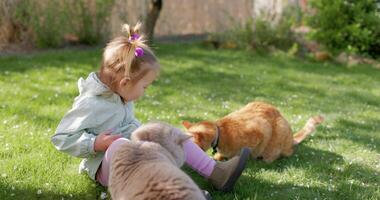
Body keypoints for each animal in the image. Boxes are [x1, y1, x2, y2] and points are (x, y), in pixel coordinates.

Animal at [182, 101, 324, 162]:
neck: (220, 133)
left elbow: (251, 151)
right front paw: (219, 157)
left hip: (280, 130)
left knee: (284, 152)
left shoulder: (262, 129)